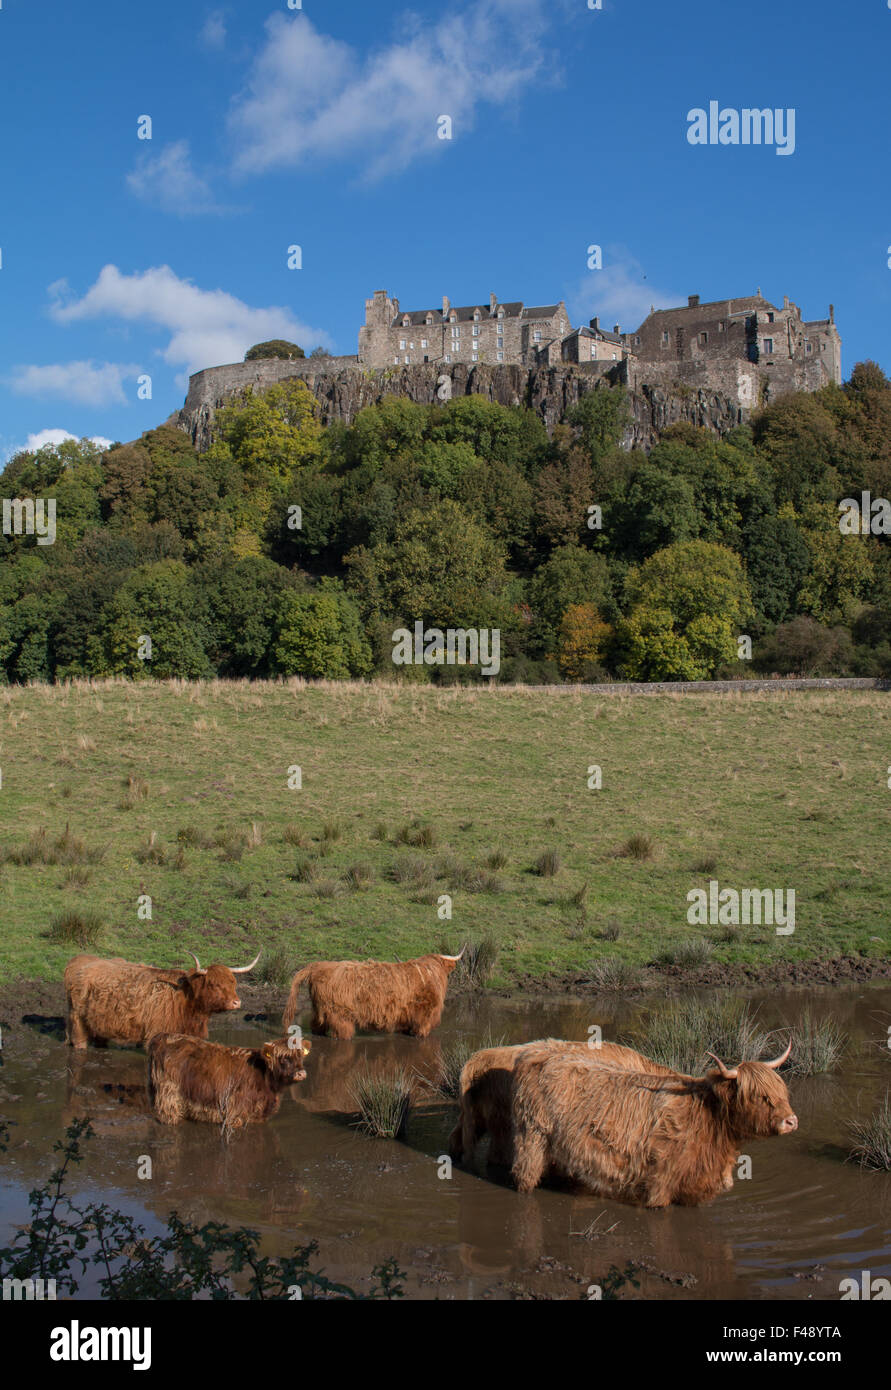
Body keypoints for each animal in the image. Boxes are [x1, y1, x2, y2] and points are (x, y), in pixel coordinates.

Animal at [63, 950, 258, 1045]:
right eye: (213, 984)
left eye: (233, 983)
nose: (237, 1002)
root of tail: (79, 960)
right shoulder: (155, 1035)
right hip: (77, 1020)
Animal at [147, 1034, 311, 1128]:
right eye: (284, 1058)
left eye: (300, 1056)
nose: (301, 1073)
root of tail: (163, 1037)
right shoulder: (235, 1114)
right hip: (169, 1095)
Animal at [283, 950, 467, 1039]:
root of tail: (316, 966)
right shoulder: (424, 1017)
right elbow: (421, 1031)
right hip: (339, 1015)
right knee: (341, 1033)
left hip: (319, 1009)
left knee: (317, 1027)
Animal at [511, 1045, 795, 1206]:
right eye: (760, 1096)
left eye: (781, 1091)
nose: (792, 1121)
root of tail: (532, 1055)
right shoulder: (661, 1179)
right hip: (532, 1138)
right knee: (524, 1179)